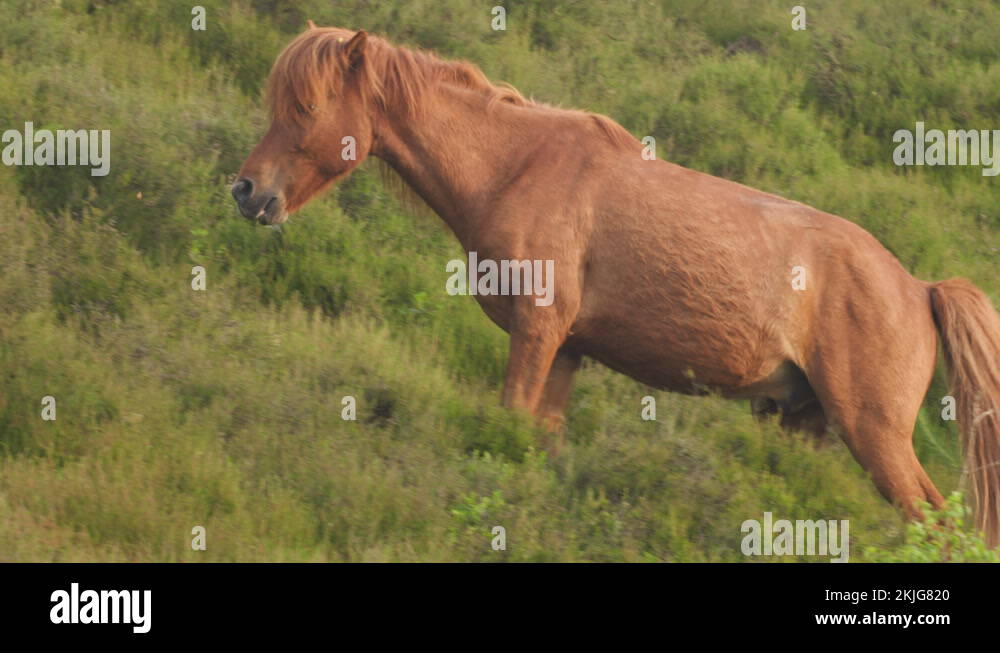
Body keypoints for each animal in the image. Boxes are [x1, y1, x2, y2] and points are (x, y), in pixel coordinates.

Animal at [232, 25, 1000, 546]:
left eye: (306, 108)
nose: (247, 191)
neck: (515, 167)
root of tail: (920, 287)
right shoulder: (565, 351)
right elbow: (539, 448)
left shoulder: (536, 336)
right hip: (801, 420)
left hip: (874, 435)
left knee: (941, 528)